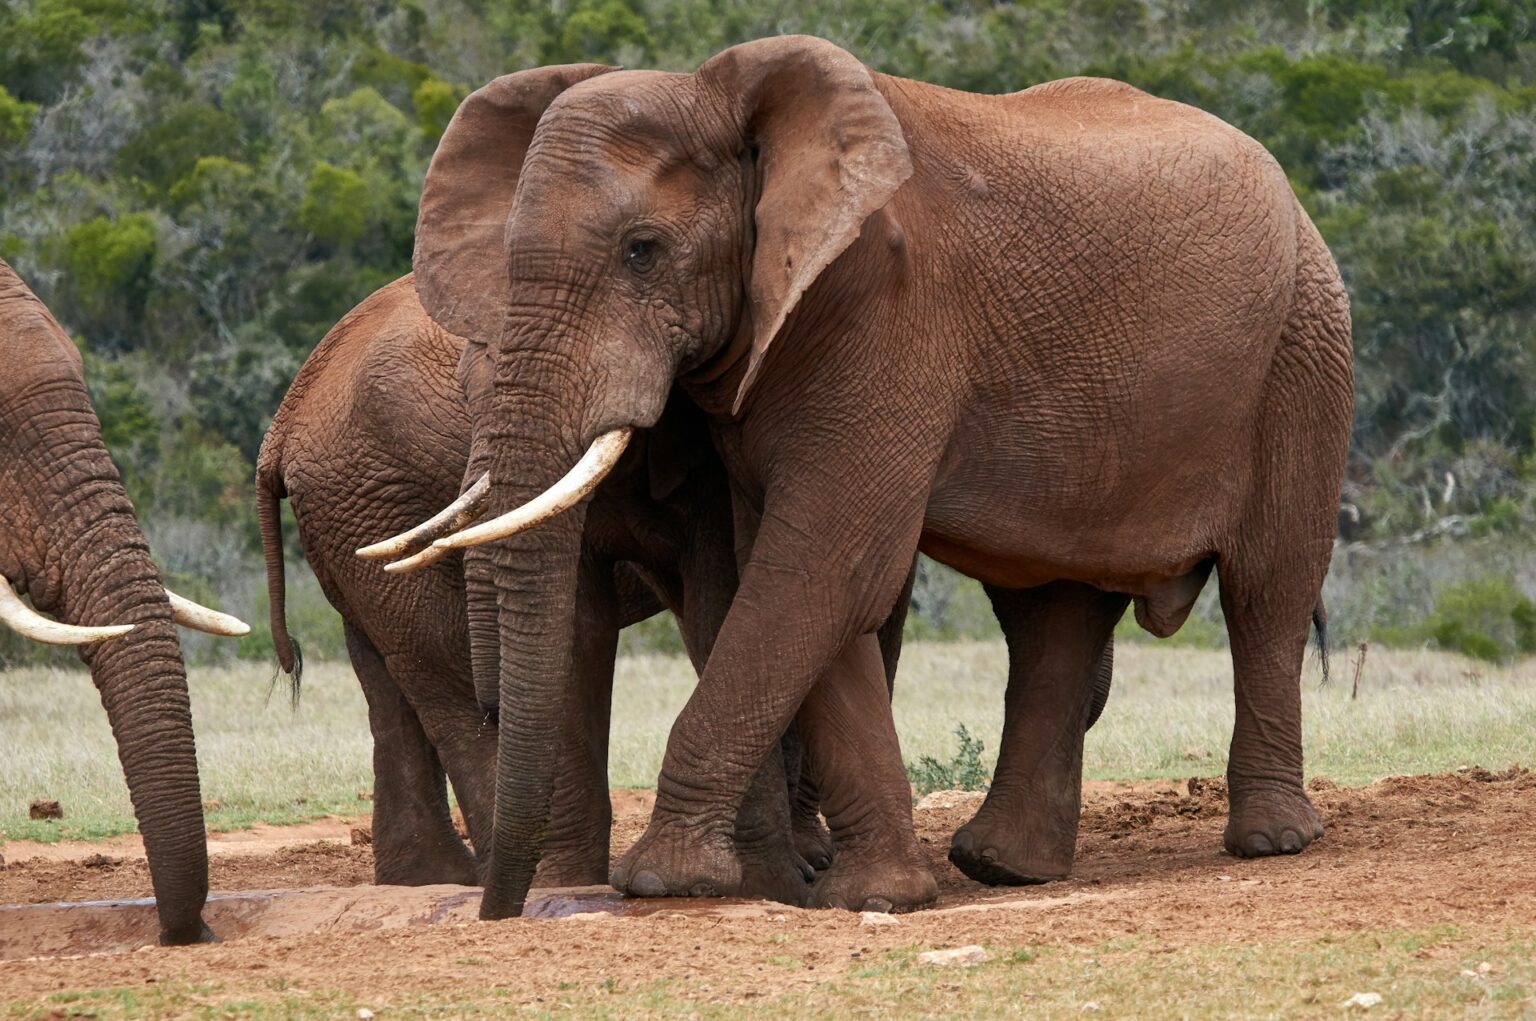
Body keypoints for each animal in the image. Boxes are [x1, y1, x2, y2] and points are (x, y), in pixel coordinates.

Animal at [259, 274, 908, 897]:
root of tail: (283, 422)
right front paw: (806, 866)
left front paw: (808, 862)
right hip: (370, 491)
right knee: (438, 669)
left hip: (355, 513)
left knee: (389, 672)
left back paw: (435, 878)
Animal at [392, 35, 1351, 918]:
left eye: (641, 250)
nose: (498, 910)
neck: (724, 95)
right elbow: (811, 584)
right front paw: (877, 895)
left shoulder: (882, 311)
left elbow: (821, 568)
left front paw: (667, 880)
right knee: (1056, 610)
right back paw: (1005, 867)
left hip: (1304, 345)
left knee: (1267, 590)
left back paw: (1270, 841)